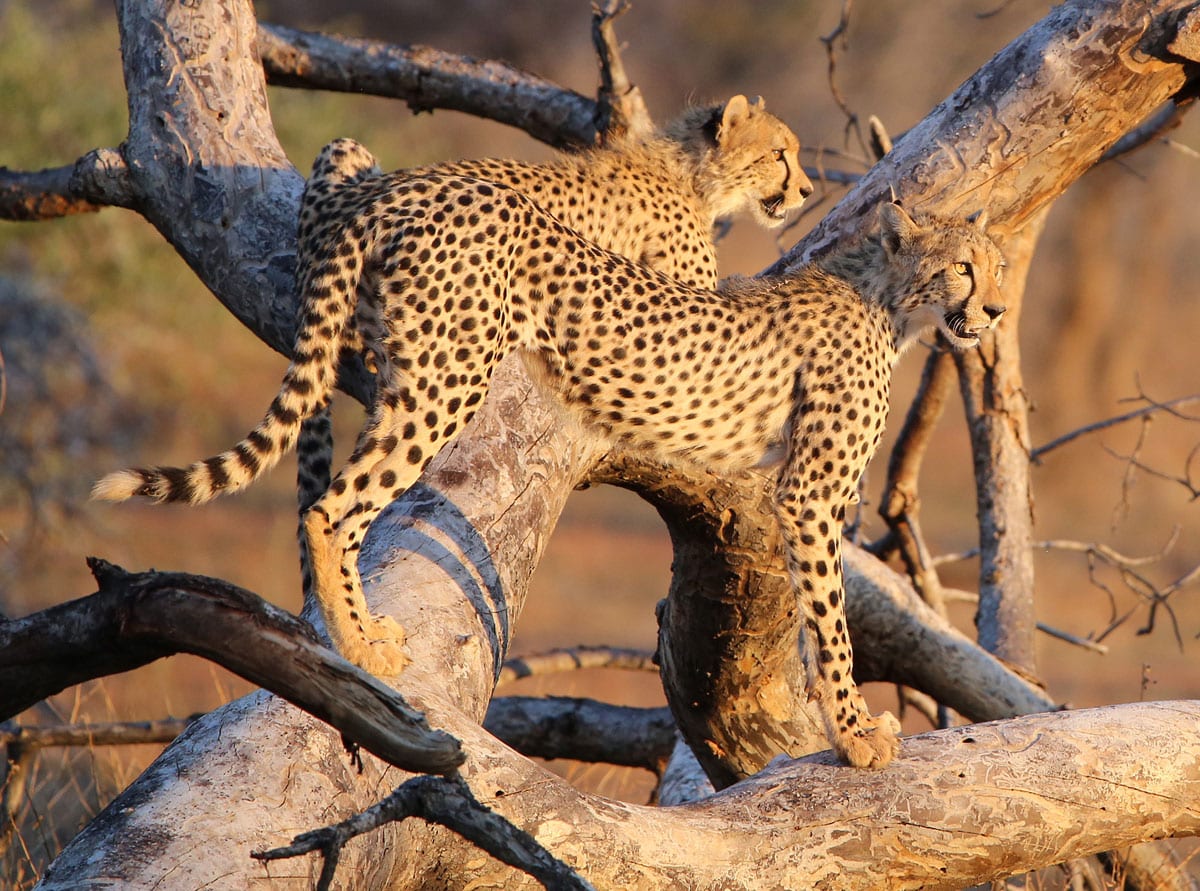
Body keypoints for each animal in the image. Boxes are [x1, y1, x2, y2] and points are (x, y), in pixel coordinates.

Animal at [95, 140, 1005, 769]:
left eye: (997, 267)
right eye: (962, 267)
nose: (995, 310)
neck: (887, 297)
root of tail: (410, 184)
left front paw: (845, 729)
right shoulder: (811, 495)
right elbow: (832, 621)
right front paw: (854, 735)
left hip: (405, 365)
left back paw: (356, 626)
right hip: (450, 375)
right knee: (334, 502)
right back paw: (361, 645)